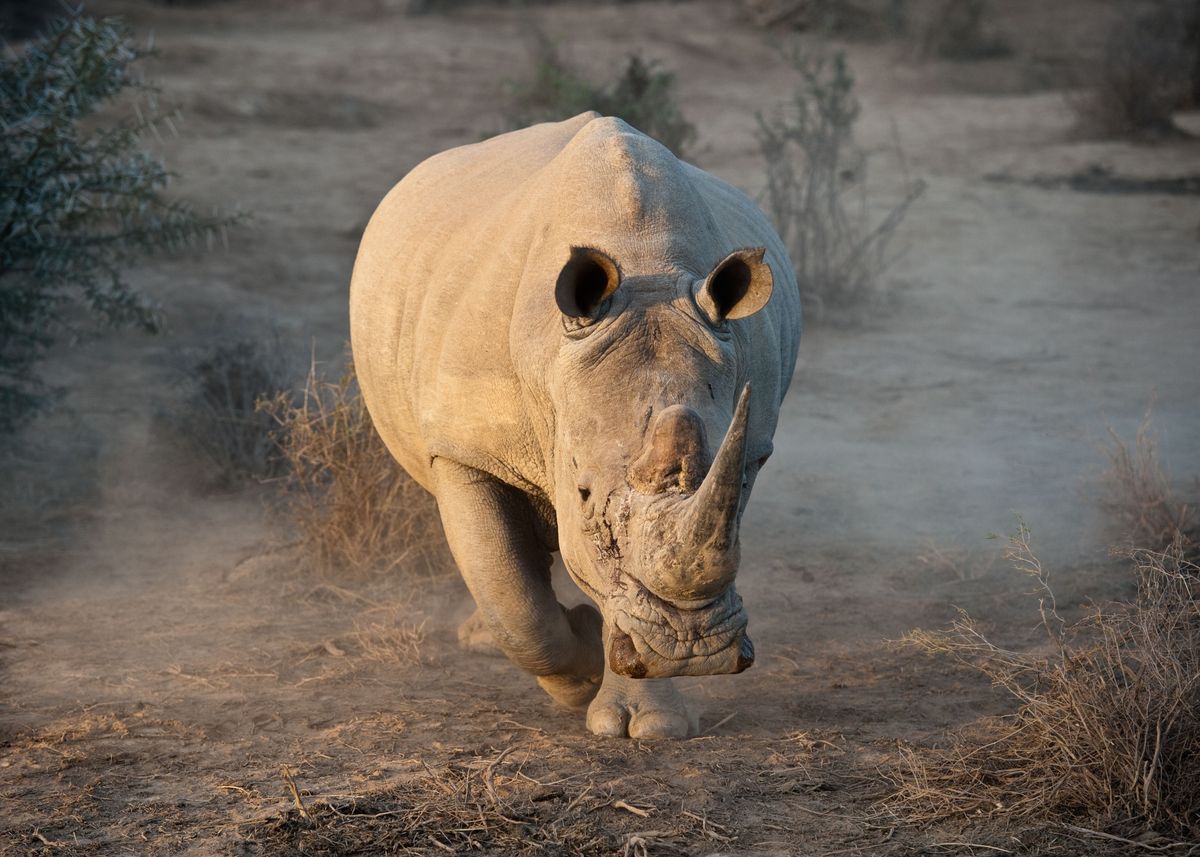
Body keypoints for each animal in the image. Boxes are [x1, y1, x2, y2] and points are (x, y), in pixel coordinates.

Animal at [350, 113, 801, 738]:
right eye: (584, 493)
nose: (694, 650)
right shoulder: (464, 448)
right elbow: (512, 599)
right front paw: (584, 660)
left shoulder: (748, 446)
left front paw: (648, 722)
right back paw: (483, 641)